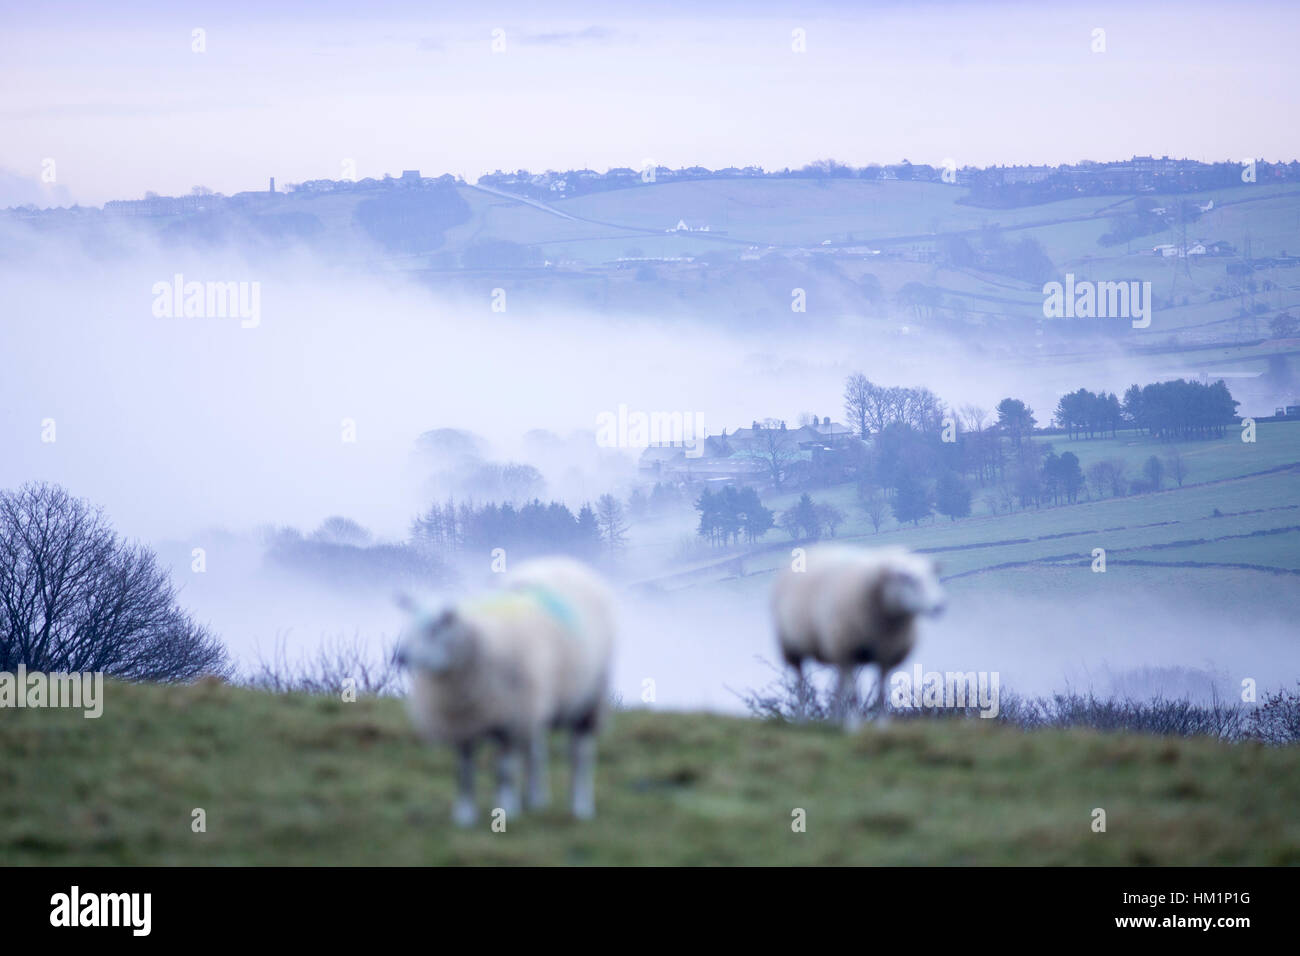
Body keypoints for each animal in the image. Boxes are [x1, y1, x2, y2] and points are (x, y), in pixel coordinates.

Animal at [396, 557, 615, 826]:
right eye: (409, 625)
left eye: (436, 628)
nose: (401, 657)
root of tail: (561, 561)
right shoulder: (463, 722)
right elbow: (464, 770)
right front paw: (464, 815)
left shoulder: (510, 719)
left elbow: (504, 771)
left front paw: (506, 810)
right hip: (537, 702)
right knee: (536, 751)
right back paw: (536, 799)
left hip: (589, 699)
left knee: (580, 756)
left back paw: (581, 806)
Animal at [770, 545, 945, 730]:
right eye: (910, 580)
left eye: (933, 577)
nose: (940, 606)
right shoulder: (847, 650)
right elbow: (854, 693)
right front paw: (854, 726)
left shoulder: (886, 655)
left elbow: (882, 692)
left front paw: (882, 725)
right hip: (794, 649)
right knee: (801, 684)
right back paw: (802, 720)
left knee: (838, 686)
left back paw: (834, 720)